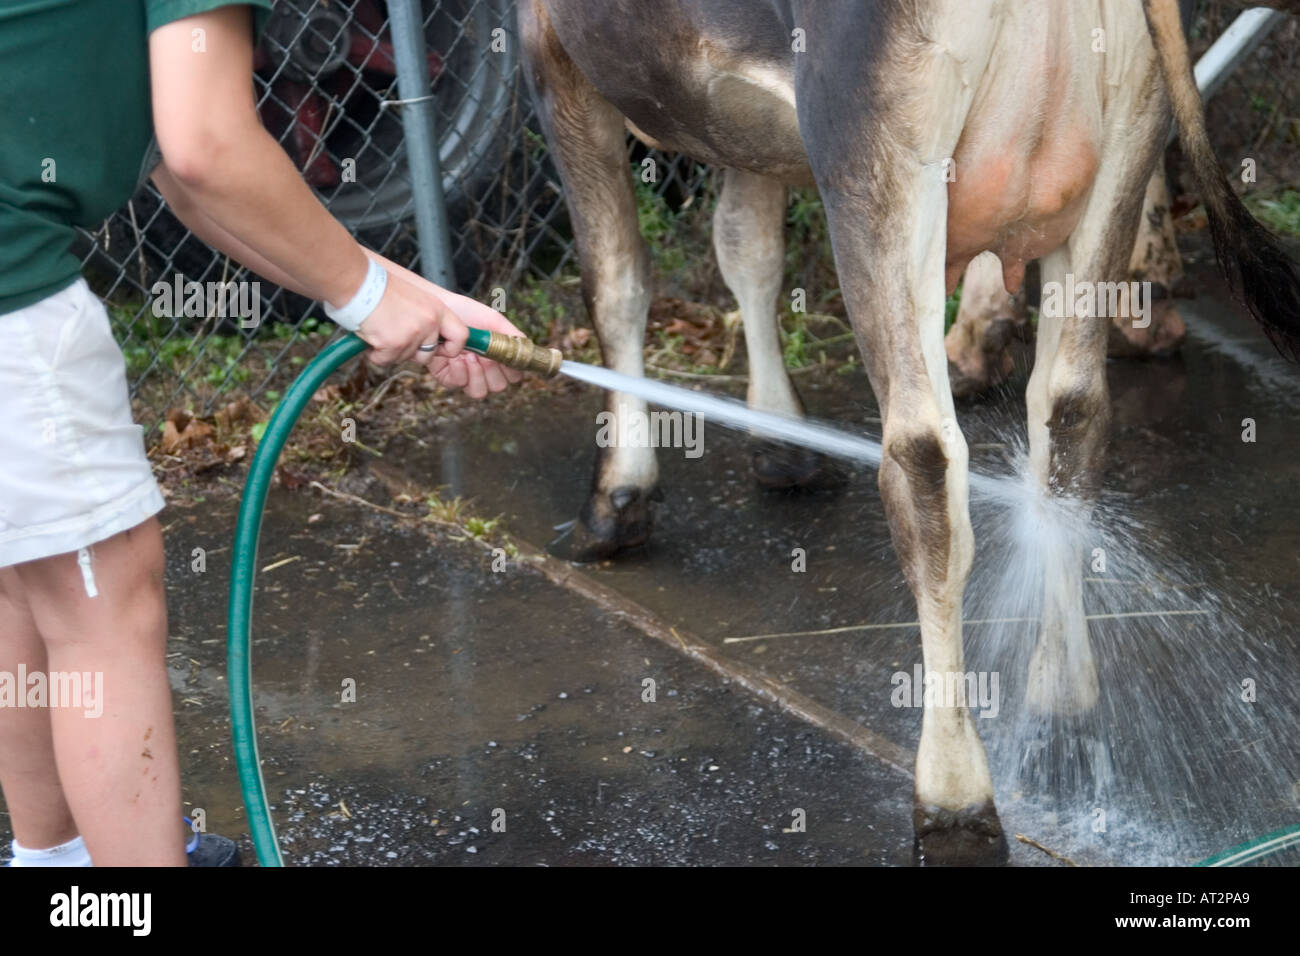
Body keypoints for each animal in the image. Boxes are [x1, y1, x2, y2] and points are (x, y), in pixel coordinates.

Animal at [519, 0, 1300, 860]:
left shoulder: (549, 49)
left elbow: (617, 279)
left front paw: (617, 498)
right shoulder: (740, 122)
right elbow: (747, 248)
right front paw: (781, 440)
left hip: (883, 162)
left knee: (925, 458)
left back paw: (953, 796)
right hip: (1125, 139)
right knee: (1070, 415)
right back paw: (1061, 707)